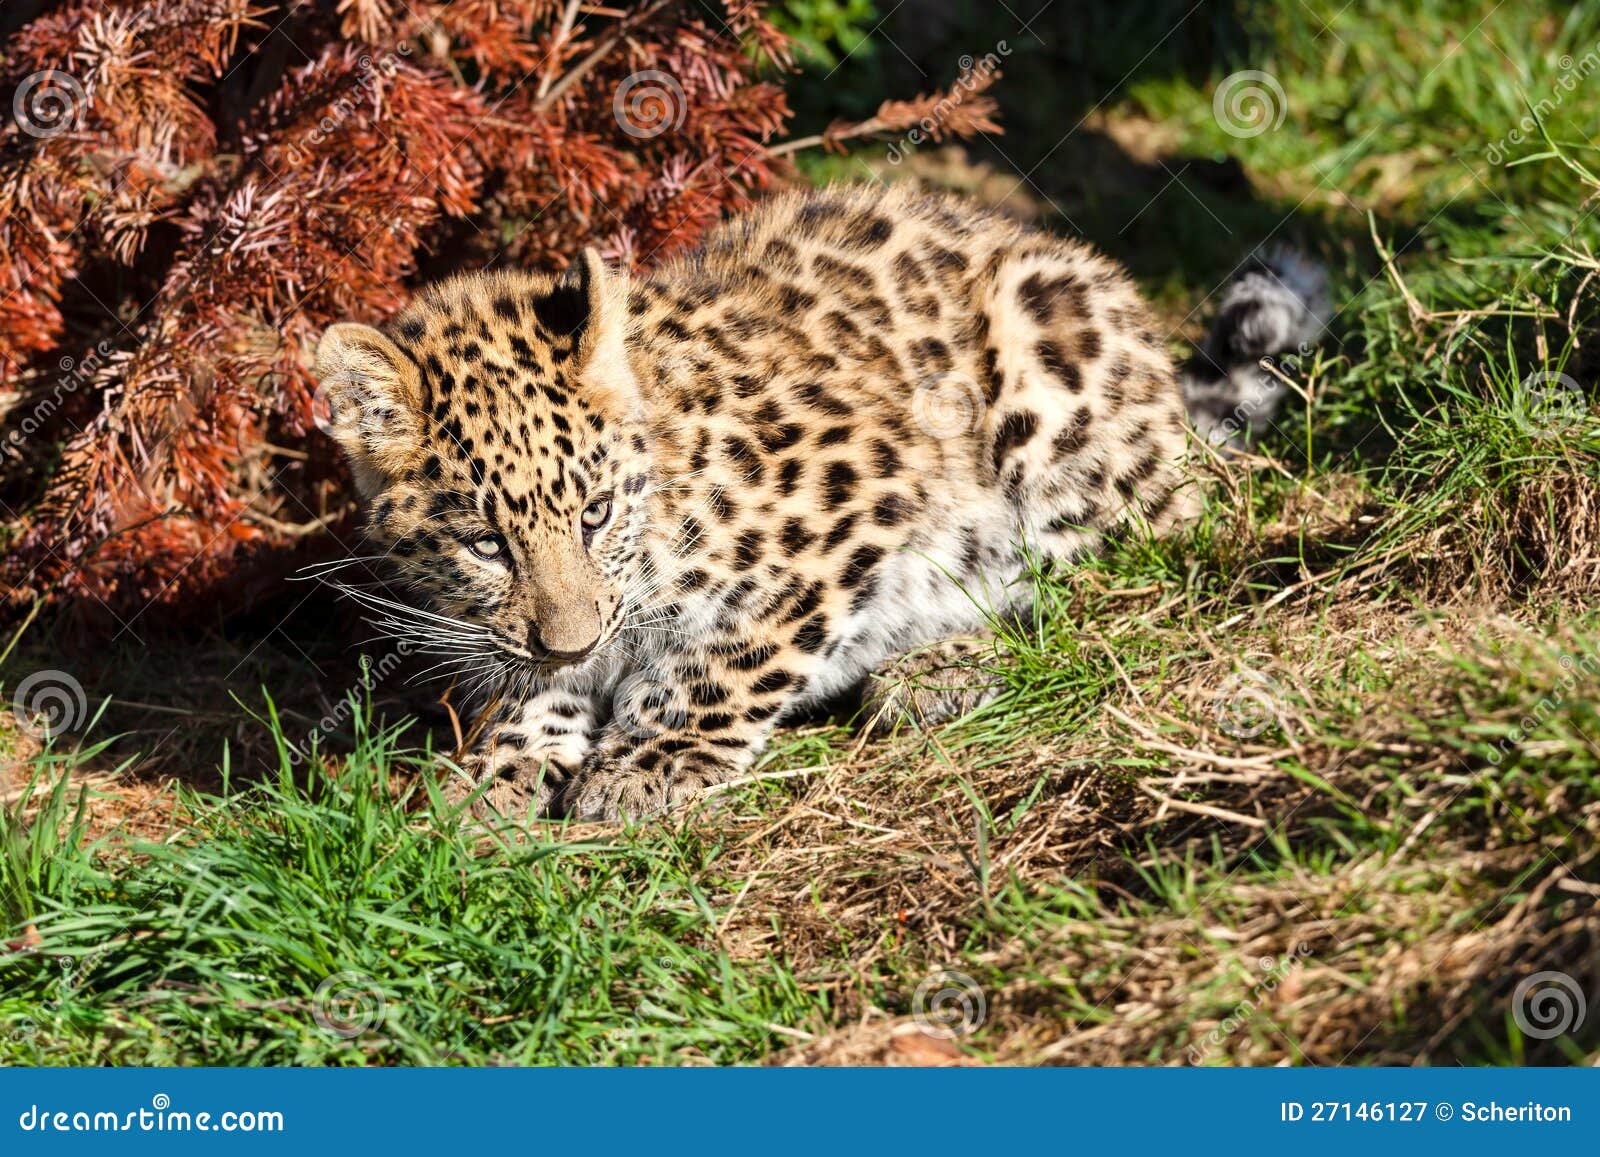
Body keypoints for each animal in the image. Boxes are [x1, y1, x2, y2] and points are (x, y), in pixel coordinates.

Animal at [314, 182, 1318, 822]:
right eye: (486, 544)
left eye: (595, 514)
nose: (573, 642)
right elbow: (537, 691)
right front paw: (496, 768)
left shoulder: (861, 484)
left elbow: (731, 654)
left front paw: (650, 760)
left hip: (1046, 375)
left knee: (1132, 562)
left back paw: (943, 664)